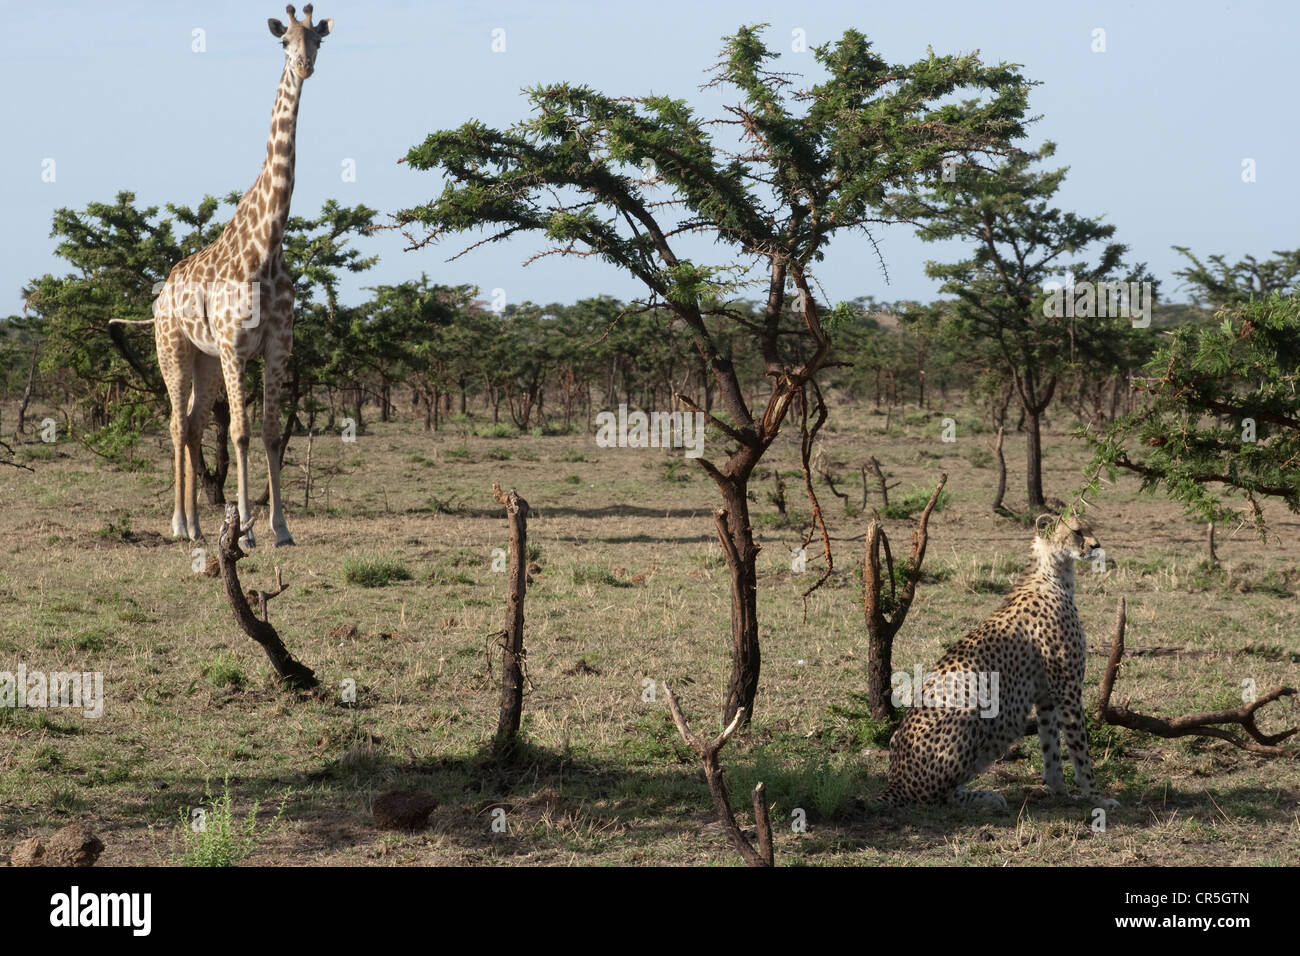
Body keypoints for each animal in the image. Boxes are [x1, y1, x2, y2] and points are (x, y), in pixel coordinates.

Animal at [154, 5, 331, 548]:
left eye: (318, 39)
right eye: (284, 41)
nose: (305, 65)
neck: (266, 246)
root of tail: (160, 296)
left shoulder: (276, 346)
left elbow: (271, 432)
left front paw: (281, 528)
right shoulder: (235, 345)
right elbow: (239, 432)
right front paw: (246, 532)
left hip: (206, 359)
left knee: (192, 424)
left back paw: (195, 525)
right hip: (174, 349)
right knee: (176, 423)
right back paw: (178, 524)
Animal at [882, 514, 1120, 812]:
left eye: (1089, 528)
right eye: (1077, 531)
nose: (1096, 545)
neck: (1052, 574)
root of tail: (894, 781)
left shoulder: (1045, 696)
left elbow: (1051, 747)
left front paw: (1060, 791)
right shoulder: (1067, 690)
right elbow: (1080, 750)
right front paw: (1095, 796)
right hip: (972, 711)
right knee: (937, 797)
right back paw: (985, 797)